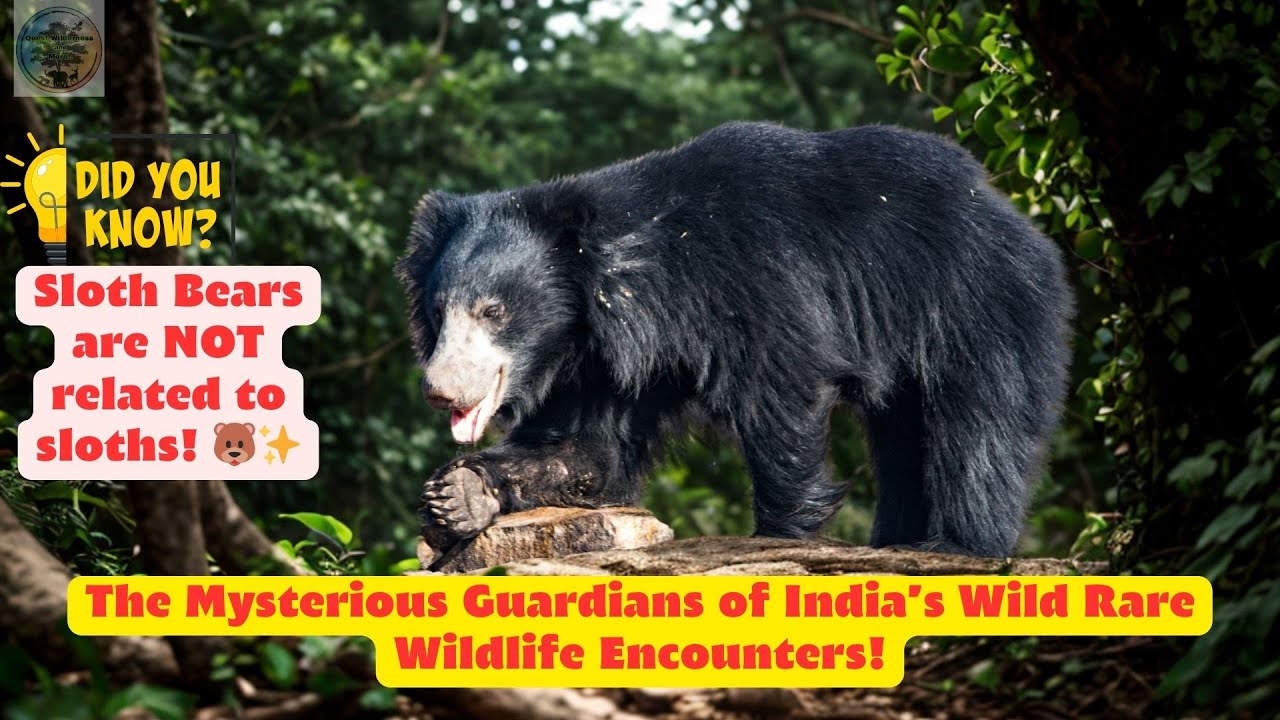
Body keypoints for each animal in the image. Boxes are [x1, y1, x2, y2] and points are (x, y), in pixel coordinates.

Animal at [396, 121, 1074, 558]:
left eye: (493, 311)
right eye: (439, 310)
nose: (439, 390)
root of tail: (1020, 224)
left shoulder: (760, 282)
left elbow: (782, 397)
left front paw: (781, 534)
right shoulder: (602, 362)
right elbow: (585, 450)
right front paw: (458, 495)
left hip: (977, 303)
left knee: (979, 422)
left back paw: (959, 543)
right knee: (902, 436)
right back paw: (898, 538)